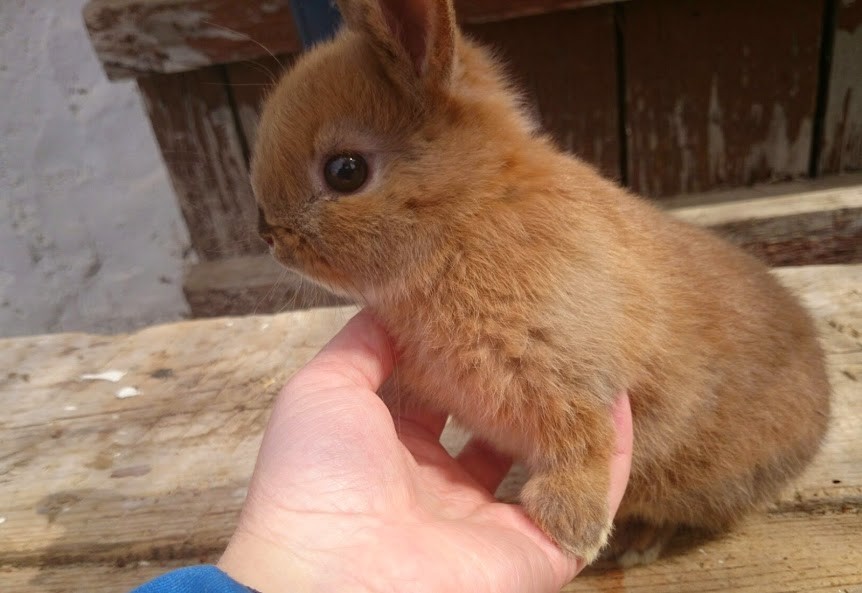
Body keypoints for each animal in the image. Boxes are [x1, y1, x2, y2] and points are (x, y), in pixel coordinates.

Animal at [251, 0, 831, 567]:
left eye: (345, 171)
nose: (270, 237)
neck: (468, 213)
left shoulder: (567, 367)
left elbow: (583, 441)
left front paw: (573, 528)